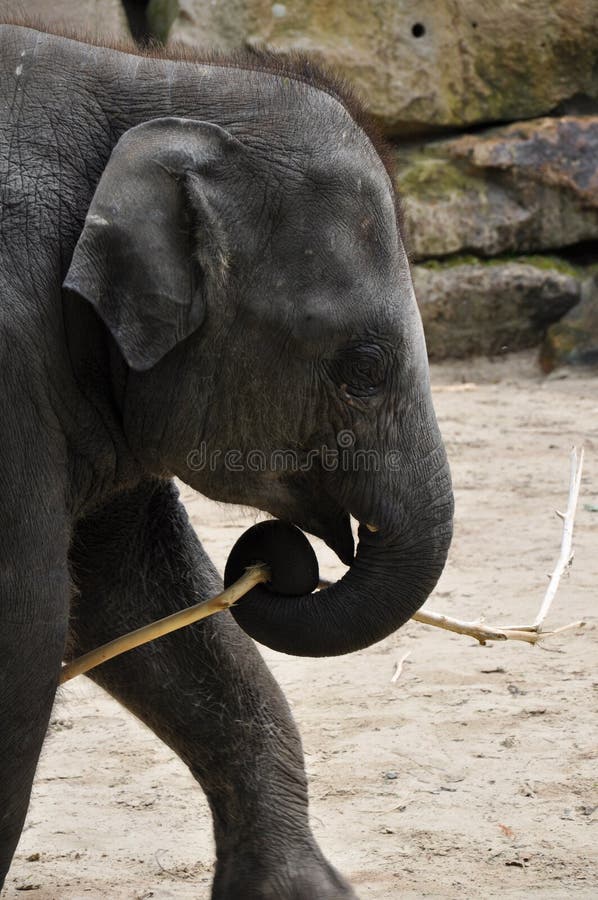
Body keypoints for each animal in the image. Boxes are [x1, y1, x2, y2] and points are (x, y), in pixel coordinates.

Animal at [0, 21, 453, 898]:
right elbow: (32, 624)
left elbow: (138, 595)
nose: (276, 562)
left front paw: (303, 892)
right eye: (364, 367)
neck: (154, 79)